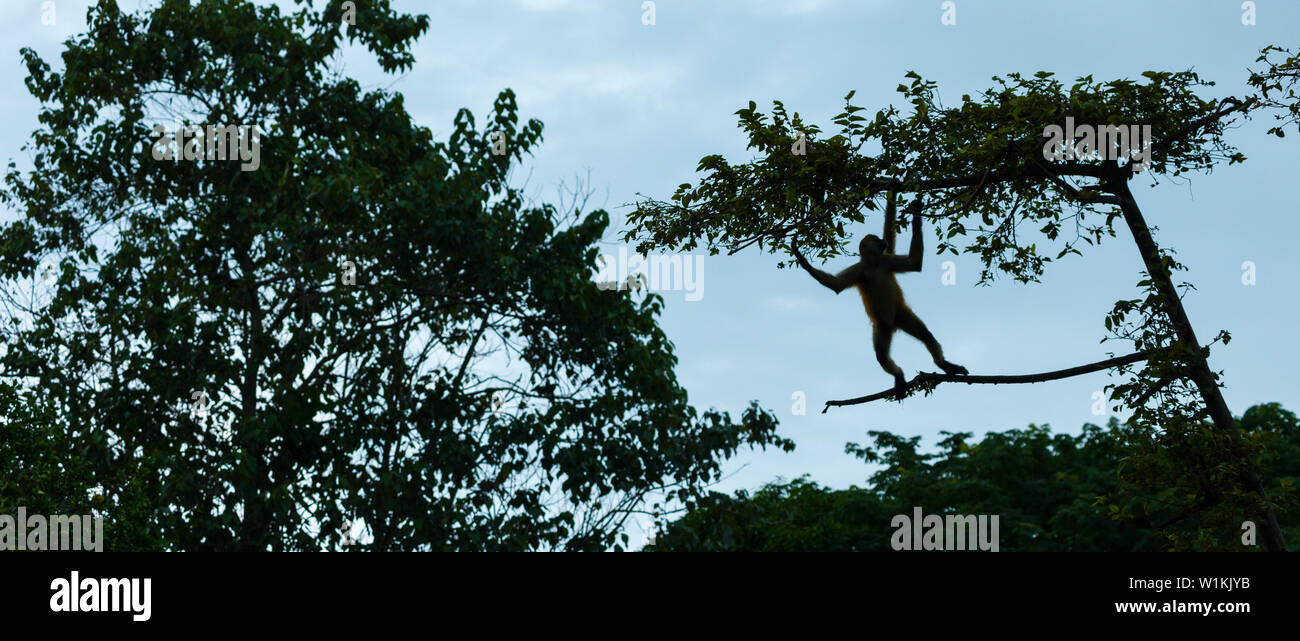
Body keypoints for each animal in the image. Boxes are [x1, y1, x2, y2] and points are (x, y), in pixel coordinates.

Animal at [792, 192, 967, 399]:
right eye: (876, 239)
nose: (882, 241)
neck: (874, 264)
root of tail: (893, 325)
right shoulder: (860, 270)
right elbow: (836, 286)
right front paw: (800, 257)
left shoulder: (886, 261)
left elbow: (915, 262)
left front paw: (916, 214)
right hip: (882, 326)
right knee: (882, 356)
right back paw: (899, 376)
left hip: (901, 314)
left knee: (925, 335)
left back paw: (945, 365)